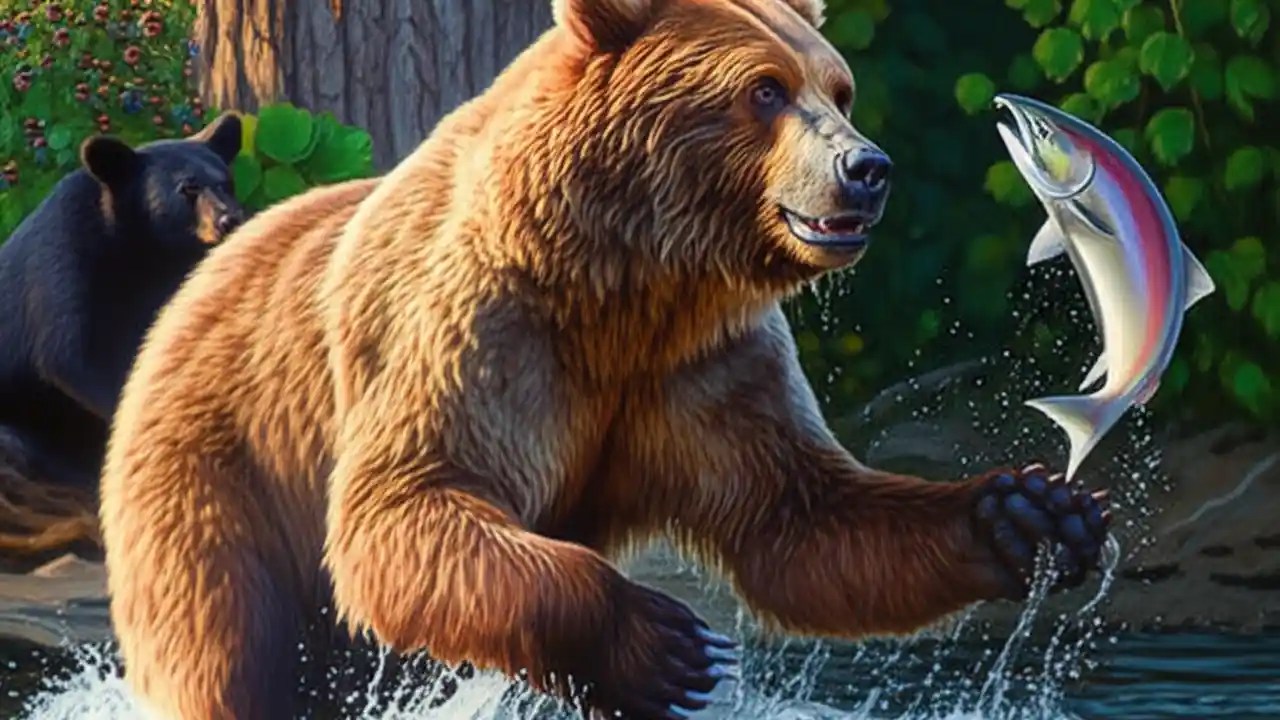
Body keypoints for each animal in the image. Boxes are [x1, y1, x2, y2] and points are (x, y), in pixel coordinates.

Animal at [0, 113, 245, 492]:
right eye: (187, 188)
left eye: (227, 183)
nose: (229, 219)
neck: (144, 248)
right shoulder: (65, 255)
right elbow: (73, 354)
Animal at [98, 1, 1113, 719]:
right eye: (765, 89)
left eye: (839, 88)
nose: (868, 169)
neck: (621, 280)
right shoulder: (477, 333)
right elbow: (409, 508)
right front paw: (664, 643)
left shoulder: (702, 367)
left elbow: (801, 519)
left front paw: (1032, 513)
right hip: (219, 474)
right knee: (226, 645)